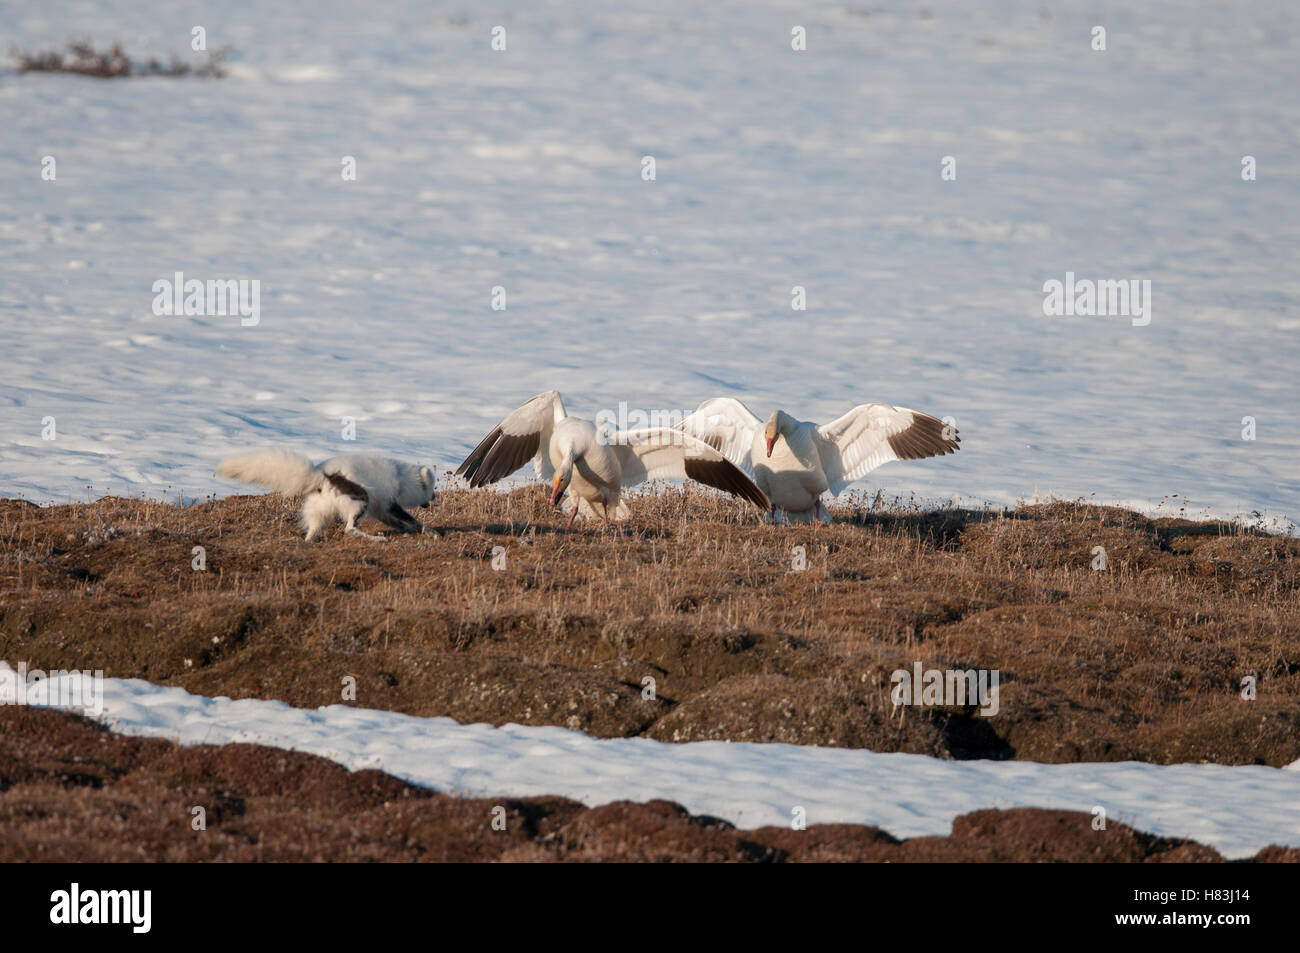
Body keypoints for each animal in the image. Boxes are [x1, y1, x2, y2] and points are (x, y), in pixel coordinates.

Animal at [215, 449, 436, 542]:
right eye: (431, 489)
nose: (434, 499)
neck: (402, 476)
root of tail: (321, 476)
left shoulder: (380, 507)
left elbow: (394, 520)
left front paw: (407, 529)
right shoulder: (388, 501)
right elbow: (406, 516)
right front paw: (427, 530)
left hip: (318, 506)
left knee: (314, 526)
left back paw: (309, 540)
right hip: (360, 499)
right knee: (349, 528)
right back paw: (375, 539)